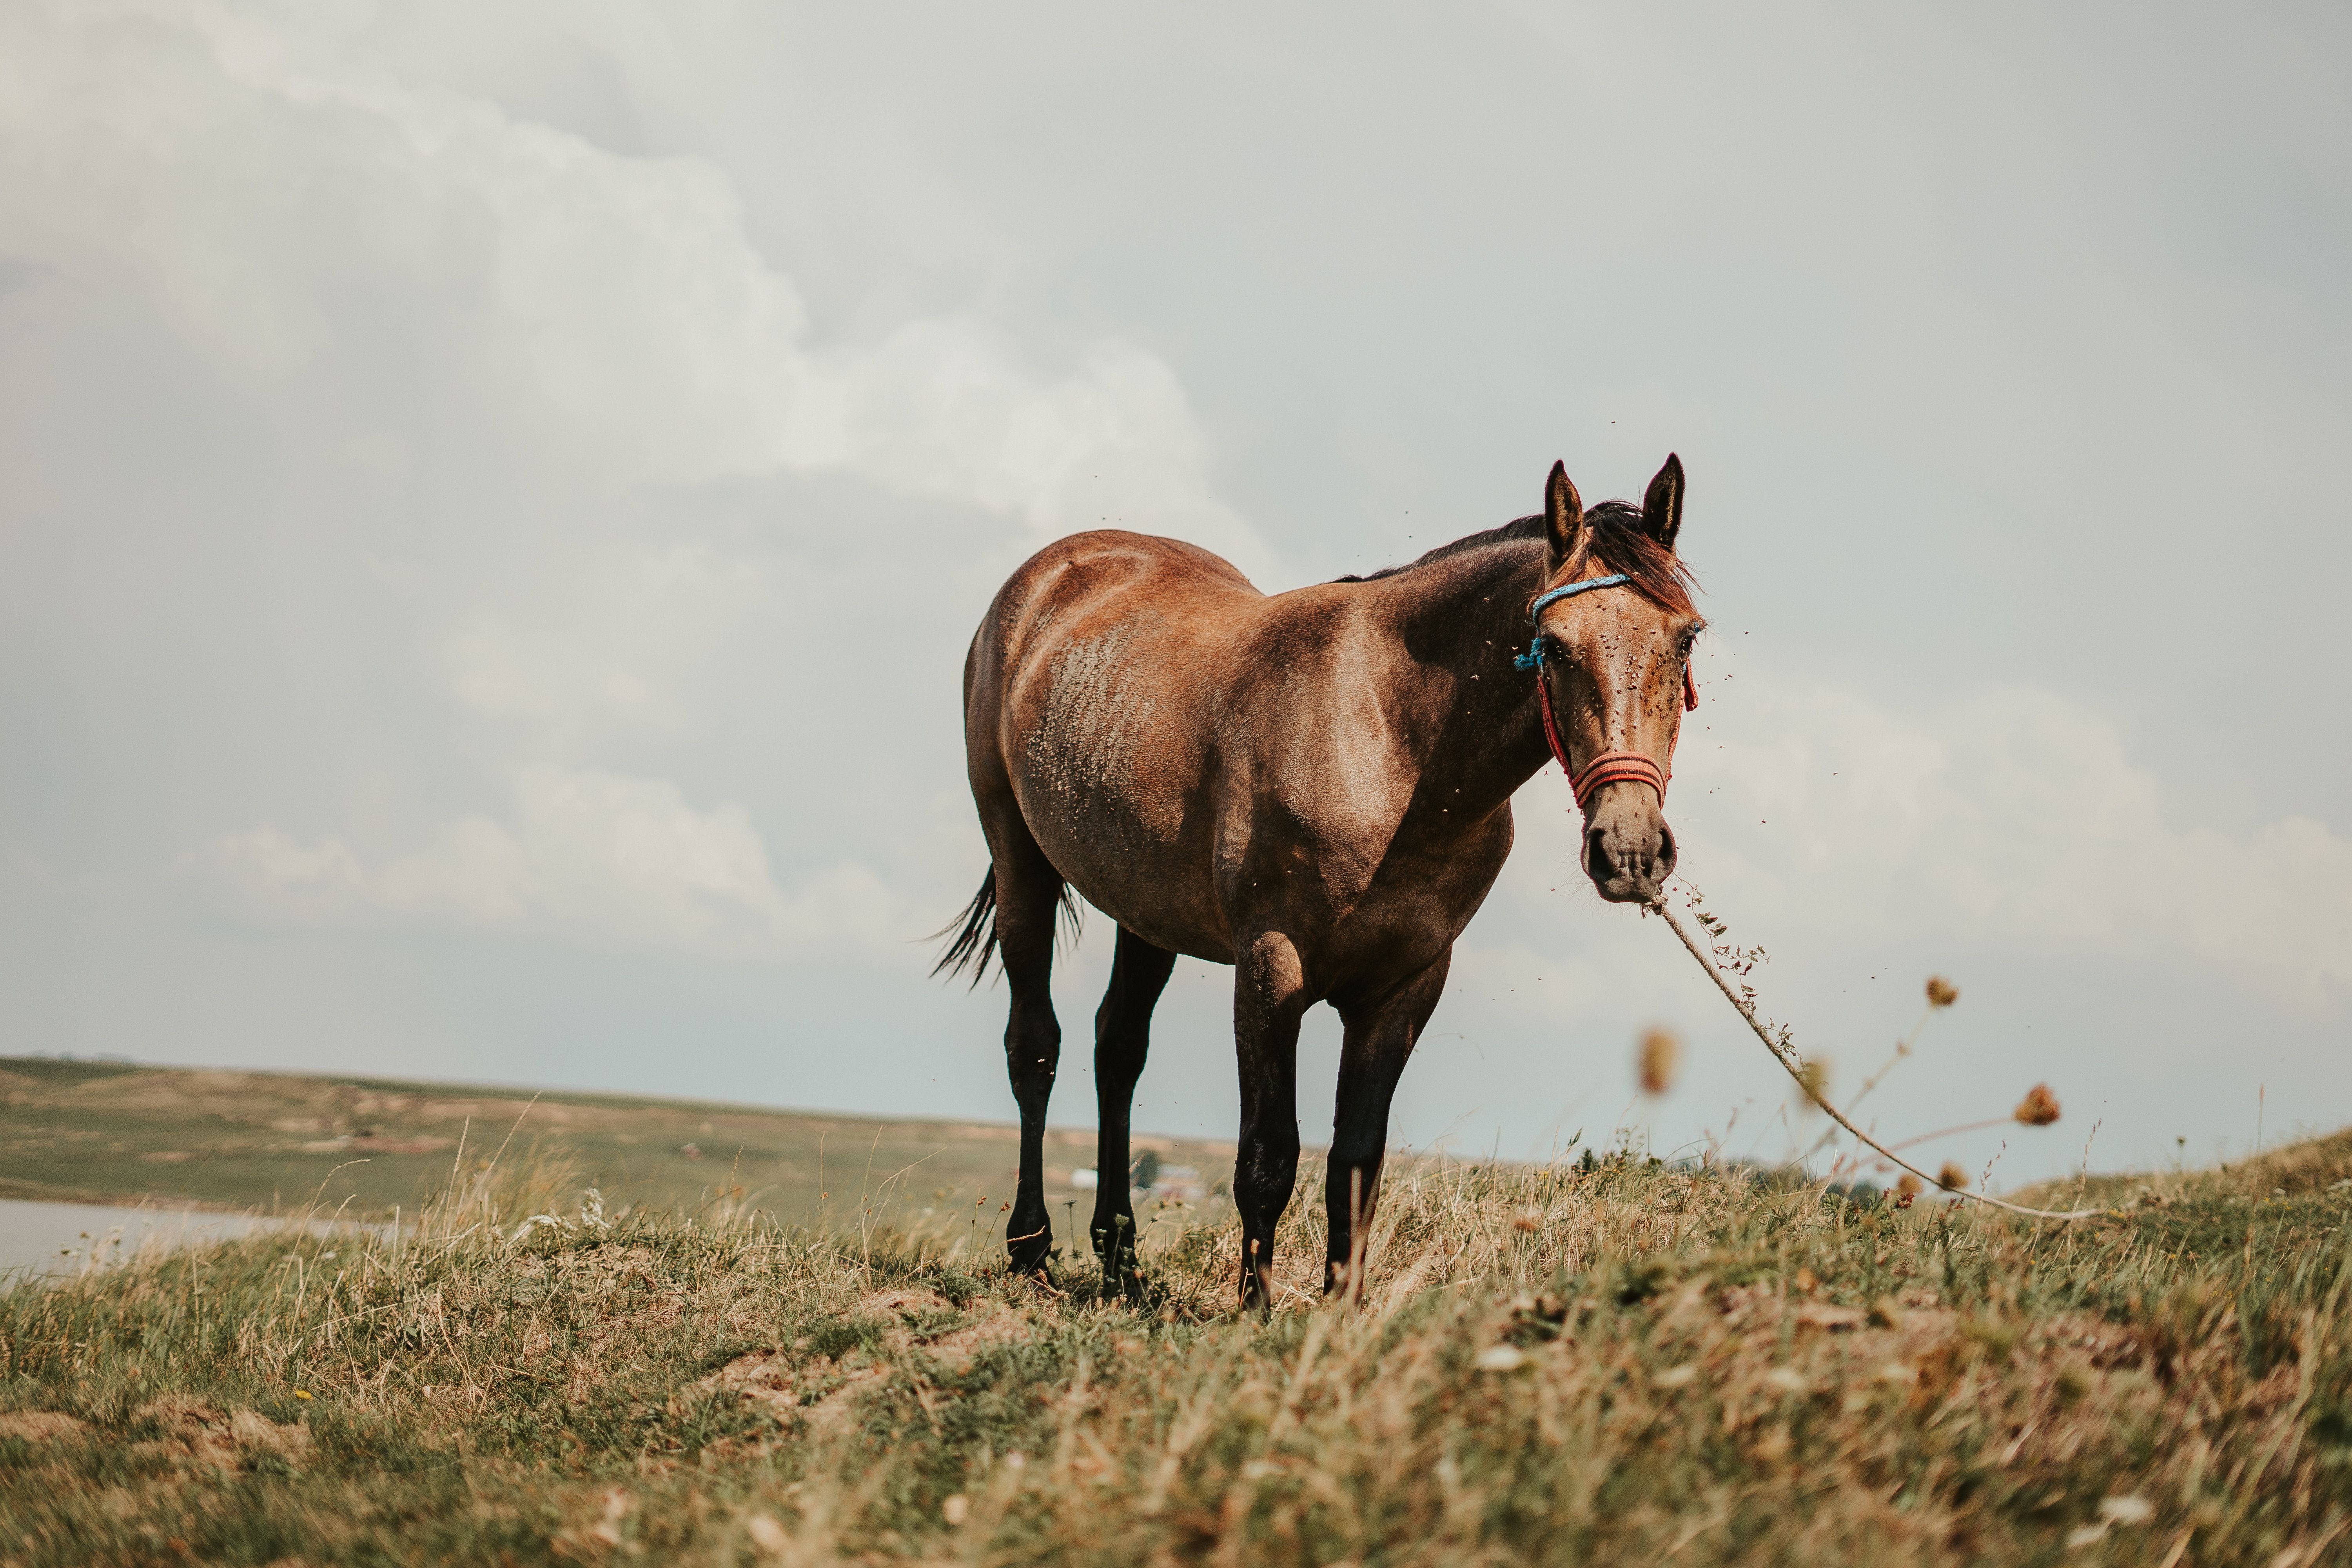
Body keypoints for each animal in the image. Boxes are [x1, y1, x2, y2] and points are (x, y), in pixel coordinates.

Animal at [937, 456, 1701, 1307]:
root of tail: (1051, 576)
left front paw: (1340, 1312)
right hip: (1020, 863)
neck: (1388, 737)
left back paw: (1121, 1258)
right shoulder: (1273, 968)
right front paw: (1256, 1310)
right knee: (1035, 1047)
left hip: (1144, 910)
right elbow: (1269, 1156)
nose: (1630, 847)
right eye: (1556, 646)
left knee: (1118, 1050)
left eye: (1685, 639)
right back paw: (1032, 1250)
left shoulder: (1404, 988)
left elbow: (1355, 1163)